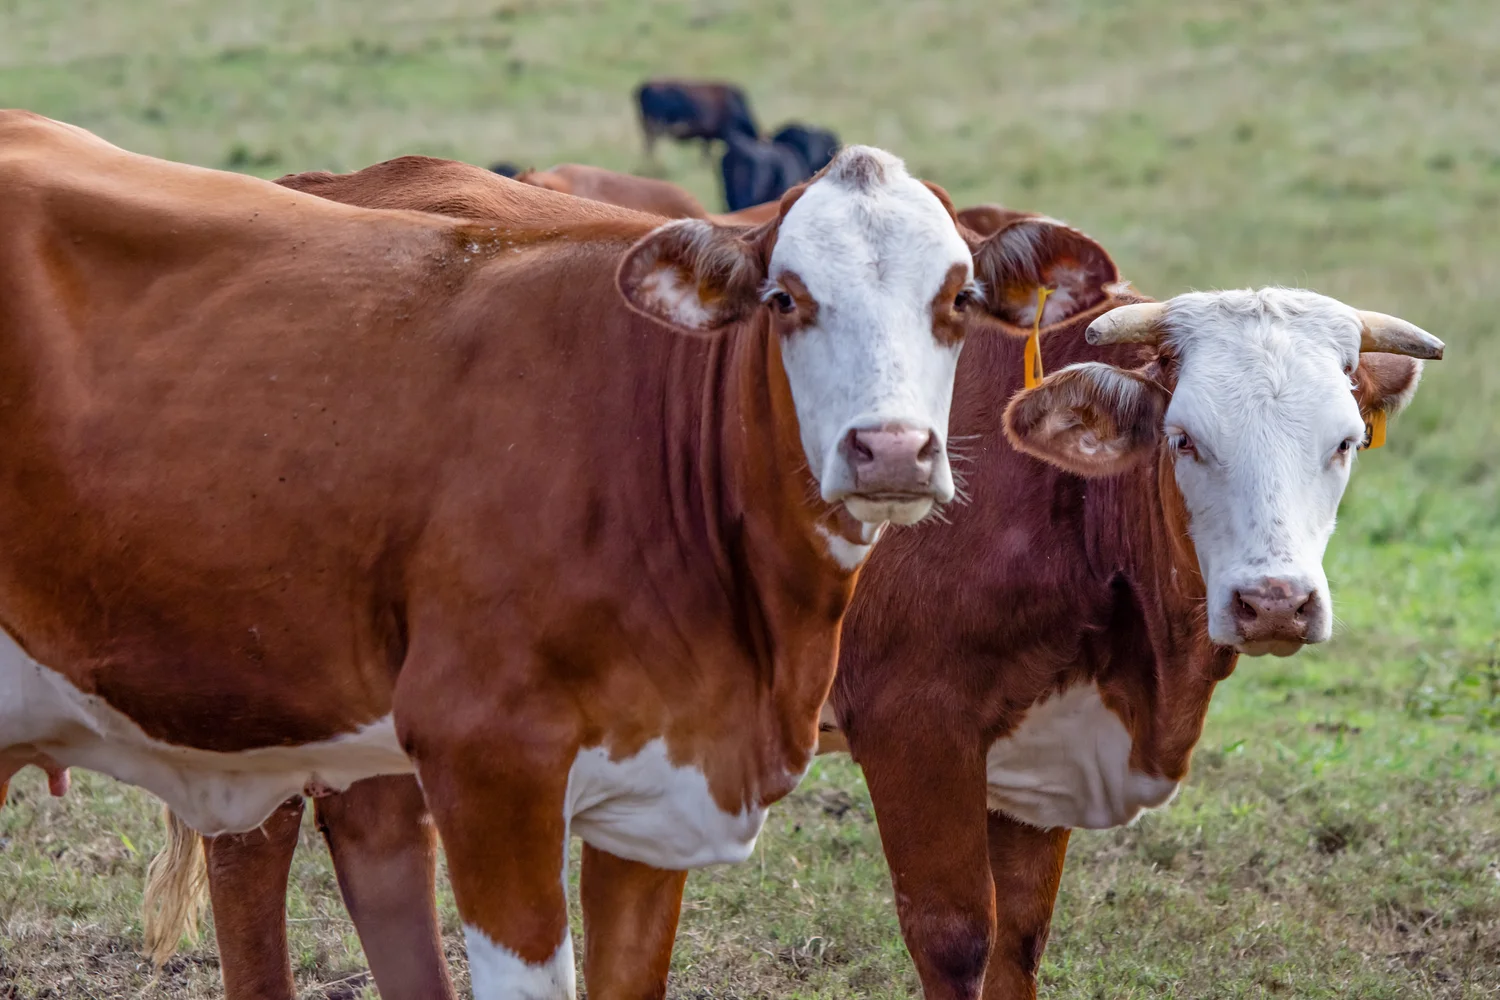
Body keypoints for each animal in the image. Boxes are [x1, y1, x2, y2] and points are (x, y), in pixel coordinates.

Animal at [144, 198, 1442, 1000]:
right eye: (1186, 438)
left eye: (1340, 442)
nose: (1274, 601)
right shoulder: (920, 728)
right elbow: (958, 940)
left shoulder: (1039, 766)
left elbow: (1019, 947)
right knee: (253, 851)